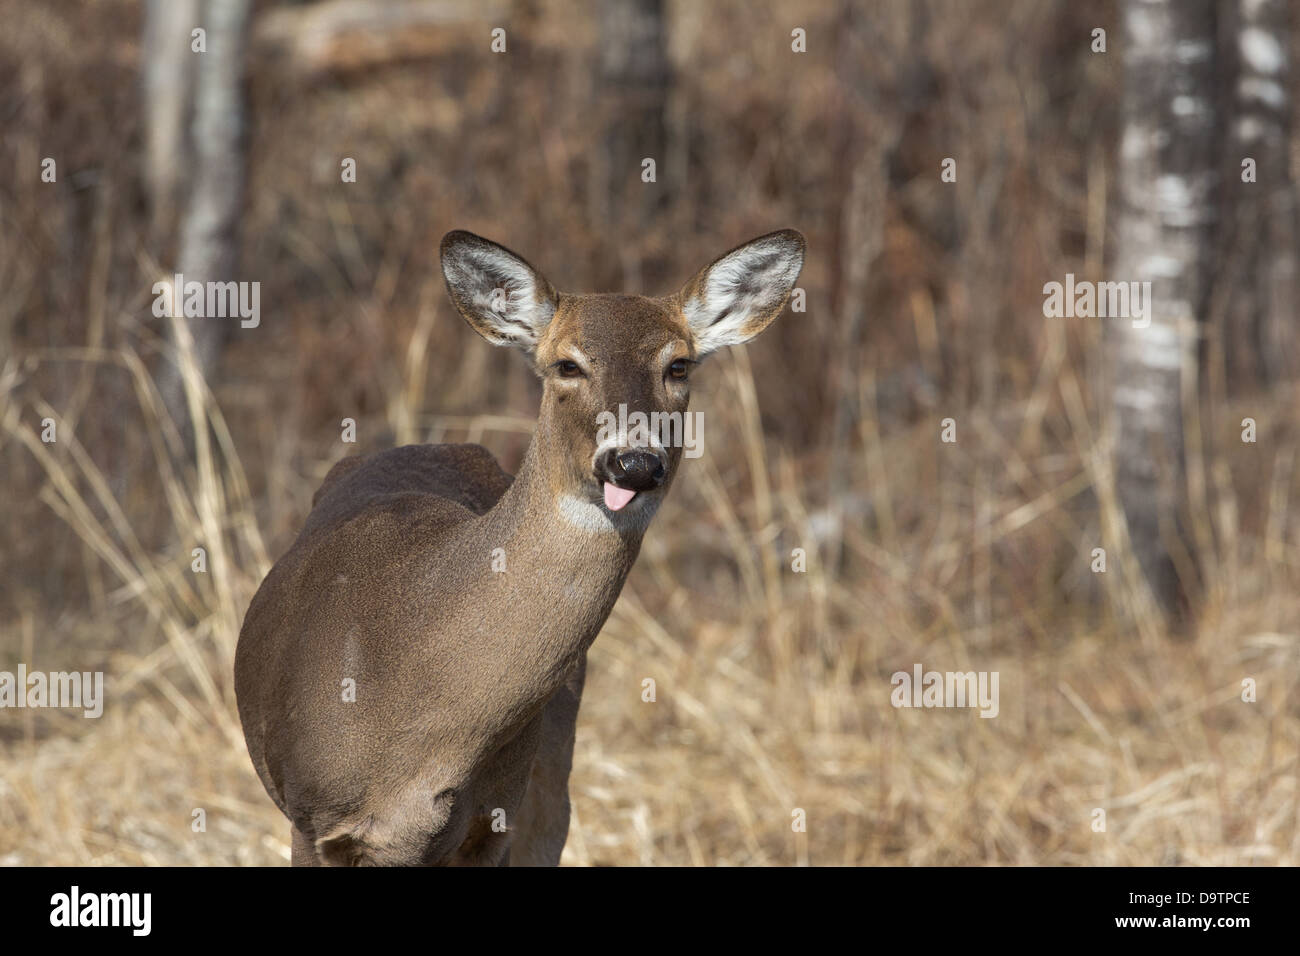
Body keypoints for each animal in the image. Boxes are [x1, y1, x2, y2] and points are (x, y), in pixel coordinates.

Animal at [234, 227, 806, 865]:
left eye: (678, 364)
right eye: (566, 365)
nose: (634, 462)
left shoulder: (496, 822)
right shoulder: (312, 817)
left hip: (551, 782)